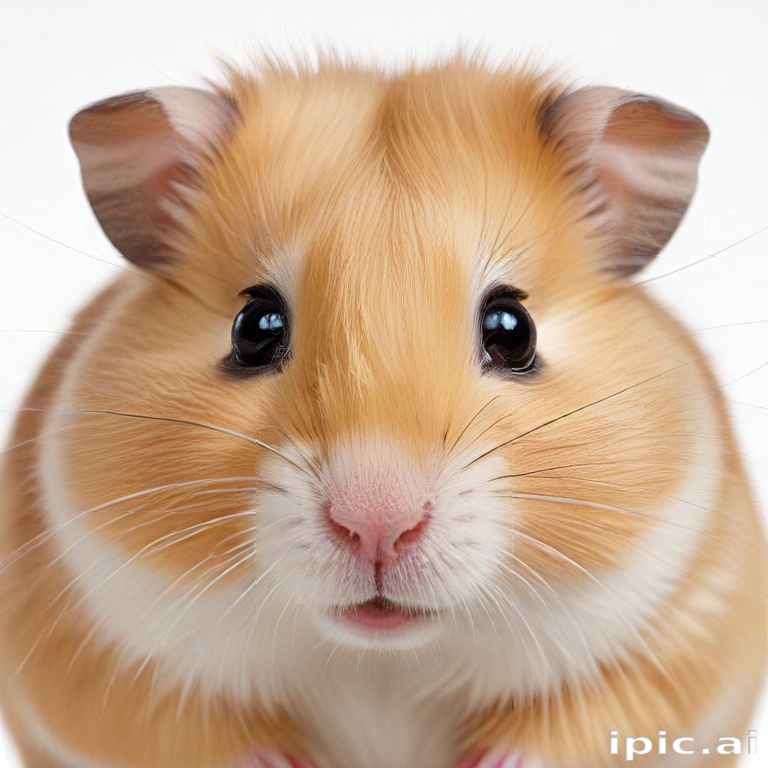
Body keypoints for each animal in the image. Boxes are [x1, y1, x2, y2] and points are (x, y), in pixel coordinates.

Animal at [0, 55, 765, 768]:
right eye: (254, 326)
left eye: (513, 329)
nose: (376, 526)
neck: (381, 660)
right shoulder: (83, 655)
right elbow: (183, 730)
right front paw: (285, 760)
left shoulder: (685, 639)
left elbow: (579, 724)